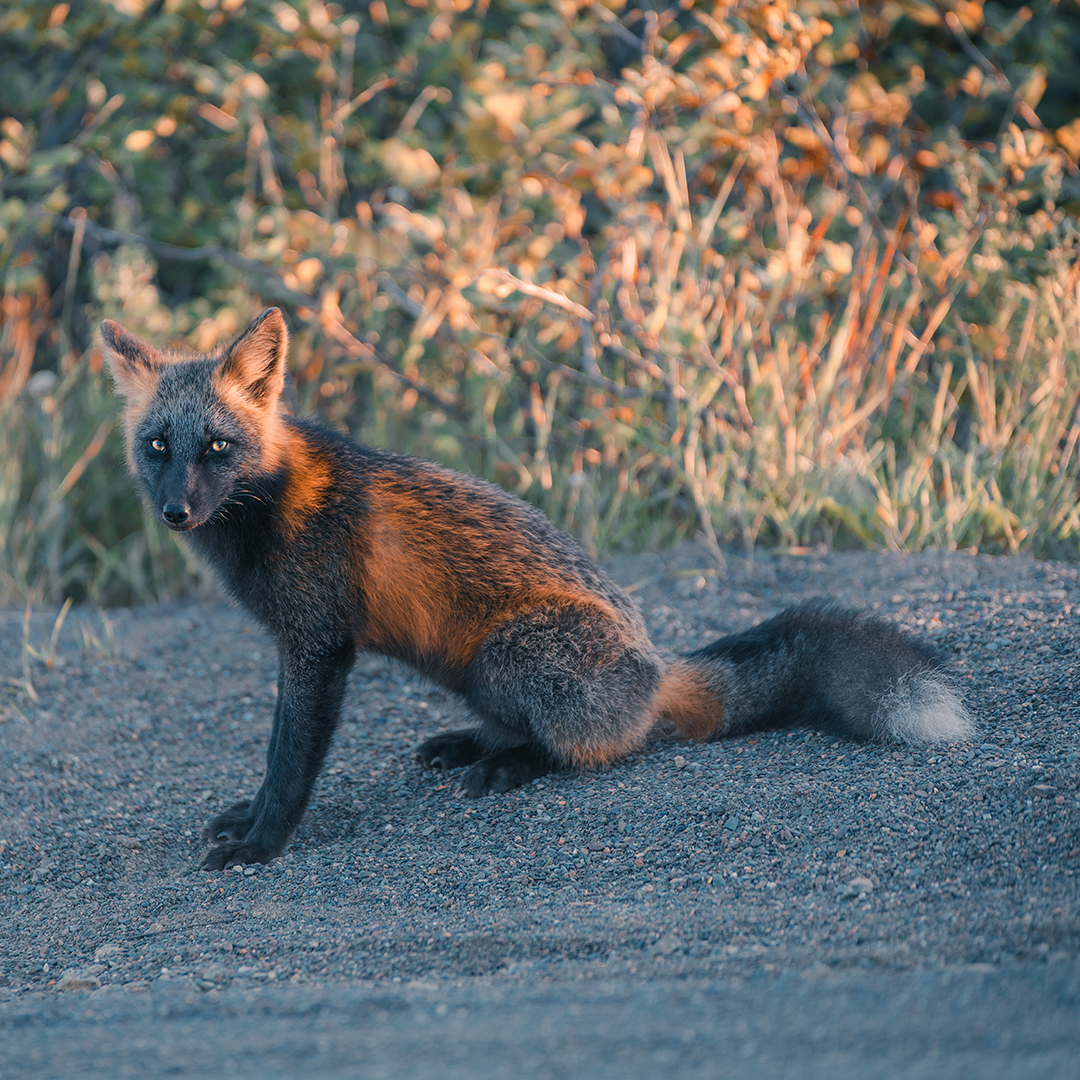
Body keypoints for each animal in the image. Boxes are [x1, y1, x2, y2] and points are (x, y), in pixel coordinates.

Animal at [101, 307, 971, 869]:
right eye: (157, 446)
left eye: (218, 447)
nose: (177, 511)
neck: (272, 505)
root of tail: (658, 669)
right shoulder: (305, 647)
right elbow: (274, 759)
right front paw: (249, 823)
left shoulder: (318, 647)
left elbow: (288, 761)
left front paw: (262, 842)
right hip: (469, 667)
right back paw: (471, 745)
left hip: (511, 653)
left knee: (594, 748)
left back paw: (513, 765)